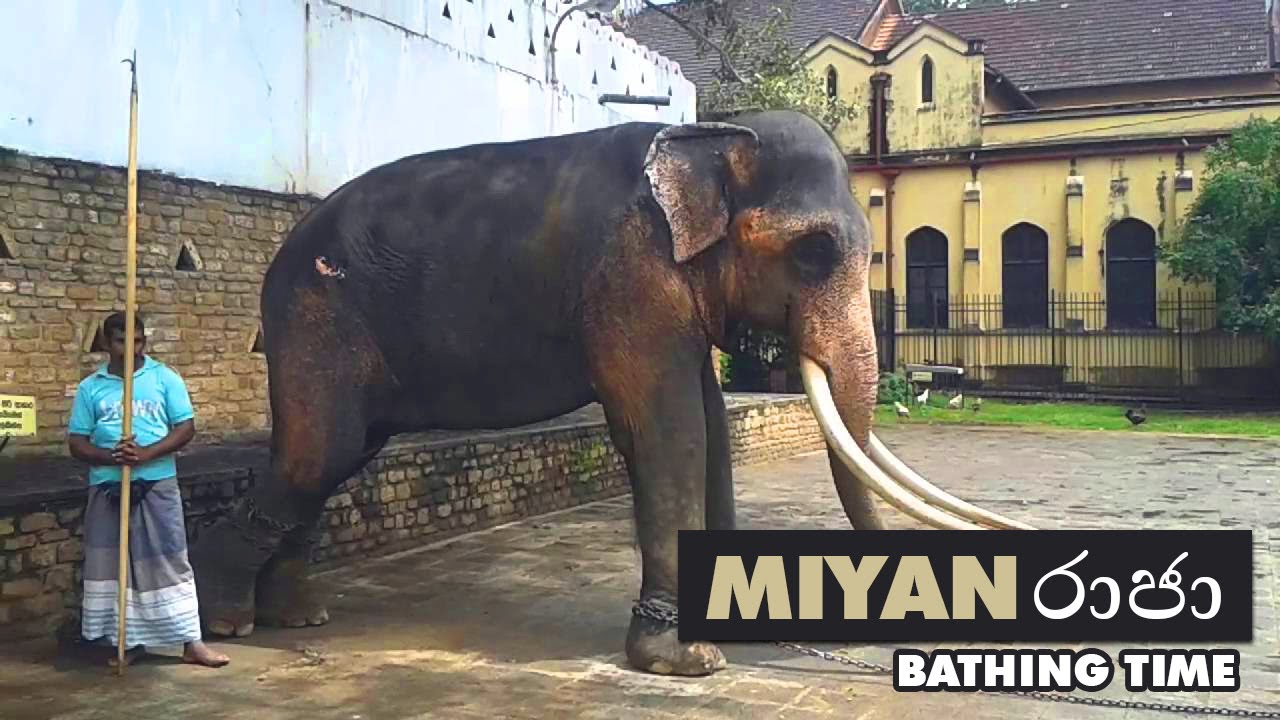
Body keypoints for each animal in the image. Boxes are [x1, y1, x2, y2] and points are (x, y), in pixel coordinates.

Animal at [186, 109, 1033, 677]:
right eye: (814, 251)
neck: (709, 136)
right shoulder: (631, 273)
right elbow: (668, 428)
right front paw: (686, 663)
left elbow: (710, 425)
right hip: (316, 318)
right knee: (319, 449)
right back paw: (228, 628)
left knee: (333, 457)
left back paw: (297, 618)